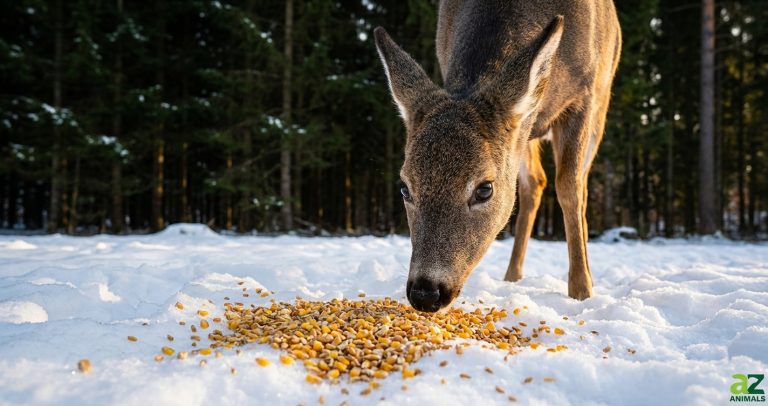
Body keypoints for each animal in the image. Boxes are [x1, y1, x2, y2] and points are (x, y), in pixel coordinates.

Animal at [374, 0, 621, 312]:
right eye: (404, 188)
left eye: (484, 189)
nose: (425, 292)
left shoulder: (584, 96)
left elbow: (569, 188)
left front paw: (582, 292)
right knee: (535, 182)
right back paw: (512, 276)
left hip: (602, 99)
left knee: (579, 186)